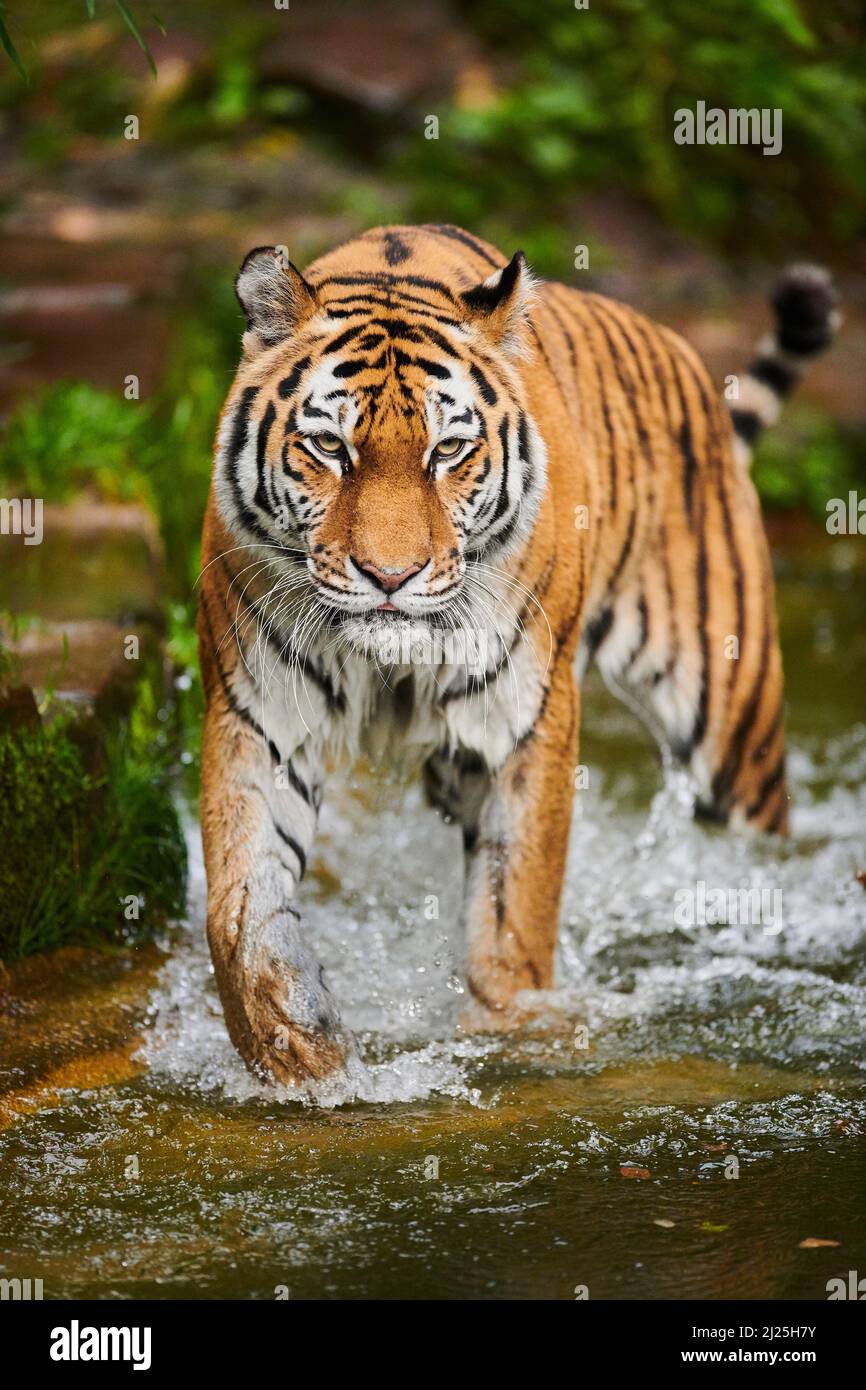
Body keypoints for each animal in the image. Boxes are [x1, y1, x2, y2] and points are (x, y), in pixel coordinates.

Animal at [197, 223, 839, 1086]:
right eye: (329, 446)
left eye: (448, 451)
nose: (390, 576)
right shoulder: (259, 715)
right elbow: (240, 908)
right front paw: (296, 1046)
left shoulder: (527, 724)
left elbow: (513, 918)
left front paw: (513, 1039)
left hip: (731, 724)